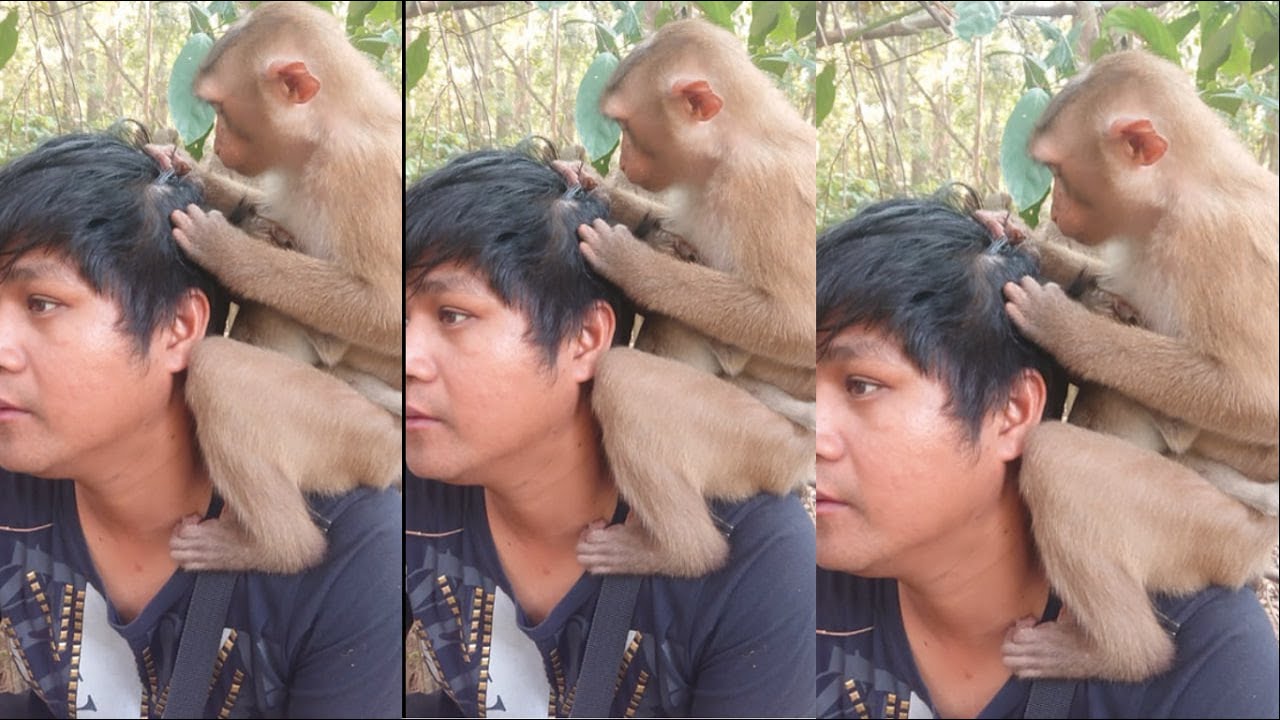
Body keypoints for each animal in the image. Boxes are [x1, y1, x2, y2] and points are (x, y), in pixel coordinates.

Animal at [146, 2, 402, 574]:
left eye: (222, 108)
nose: (216, 143)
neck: (331, 129)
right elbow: (262, 209)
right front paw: (183, 166)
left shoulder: (357, 174)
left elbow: (388, 311)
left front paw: (228, 251)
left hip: (365, 438)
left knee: (221, 370)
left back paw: (274, 547)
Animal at [557, 19, 816, 578]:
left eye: (628, 127)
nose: (623, 160)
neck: (735, 146)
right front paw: (588, 182)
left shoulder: (758, 187)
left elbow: (799, 325)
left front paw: (634, 264)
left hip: (761, 445)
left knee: (628, 381)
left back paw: (679, 552)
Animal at [995, 50, 1279, 682]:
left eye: (1058, 170)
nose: (1052, 208)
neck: (1181, 196)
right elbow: (1107, 283)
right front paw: (1012, 233)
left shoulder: (1212, 242)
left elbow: (1259, 401)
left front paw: (1068, 329)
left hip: (1211, 533)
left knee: (1060, 461)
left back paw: (1116, 653)